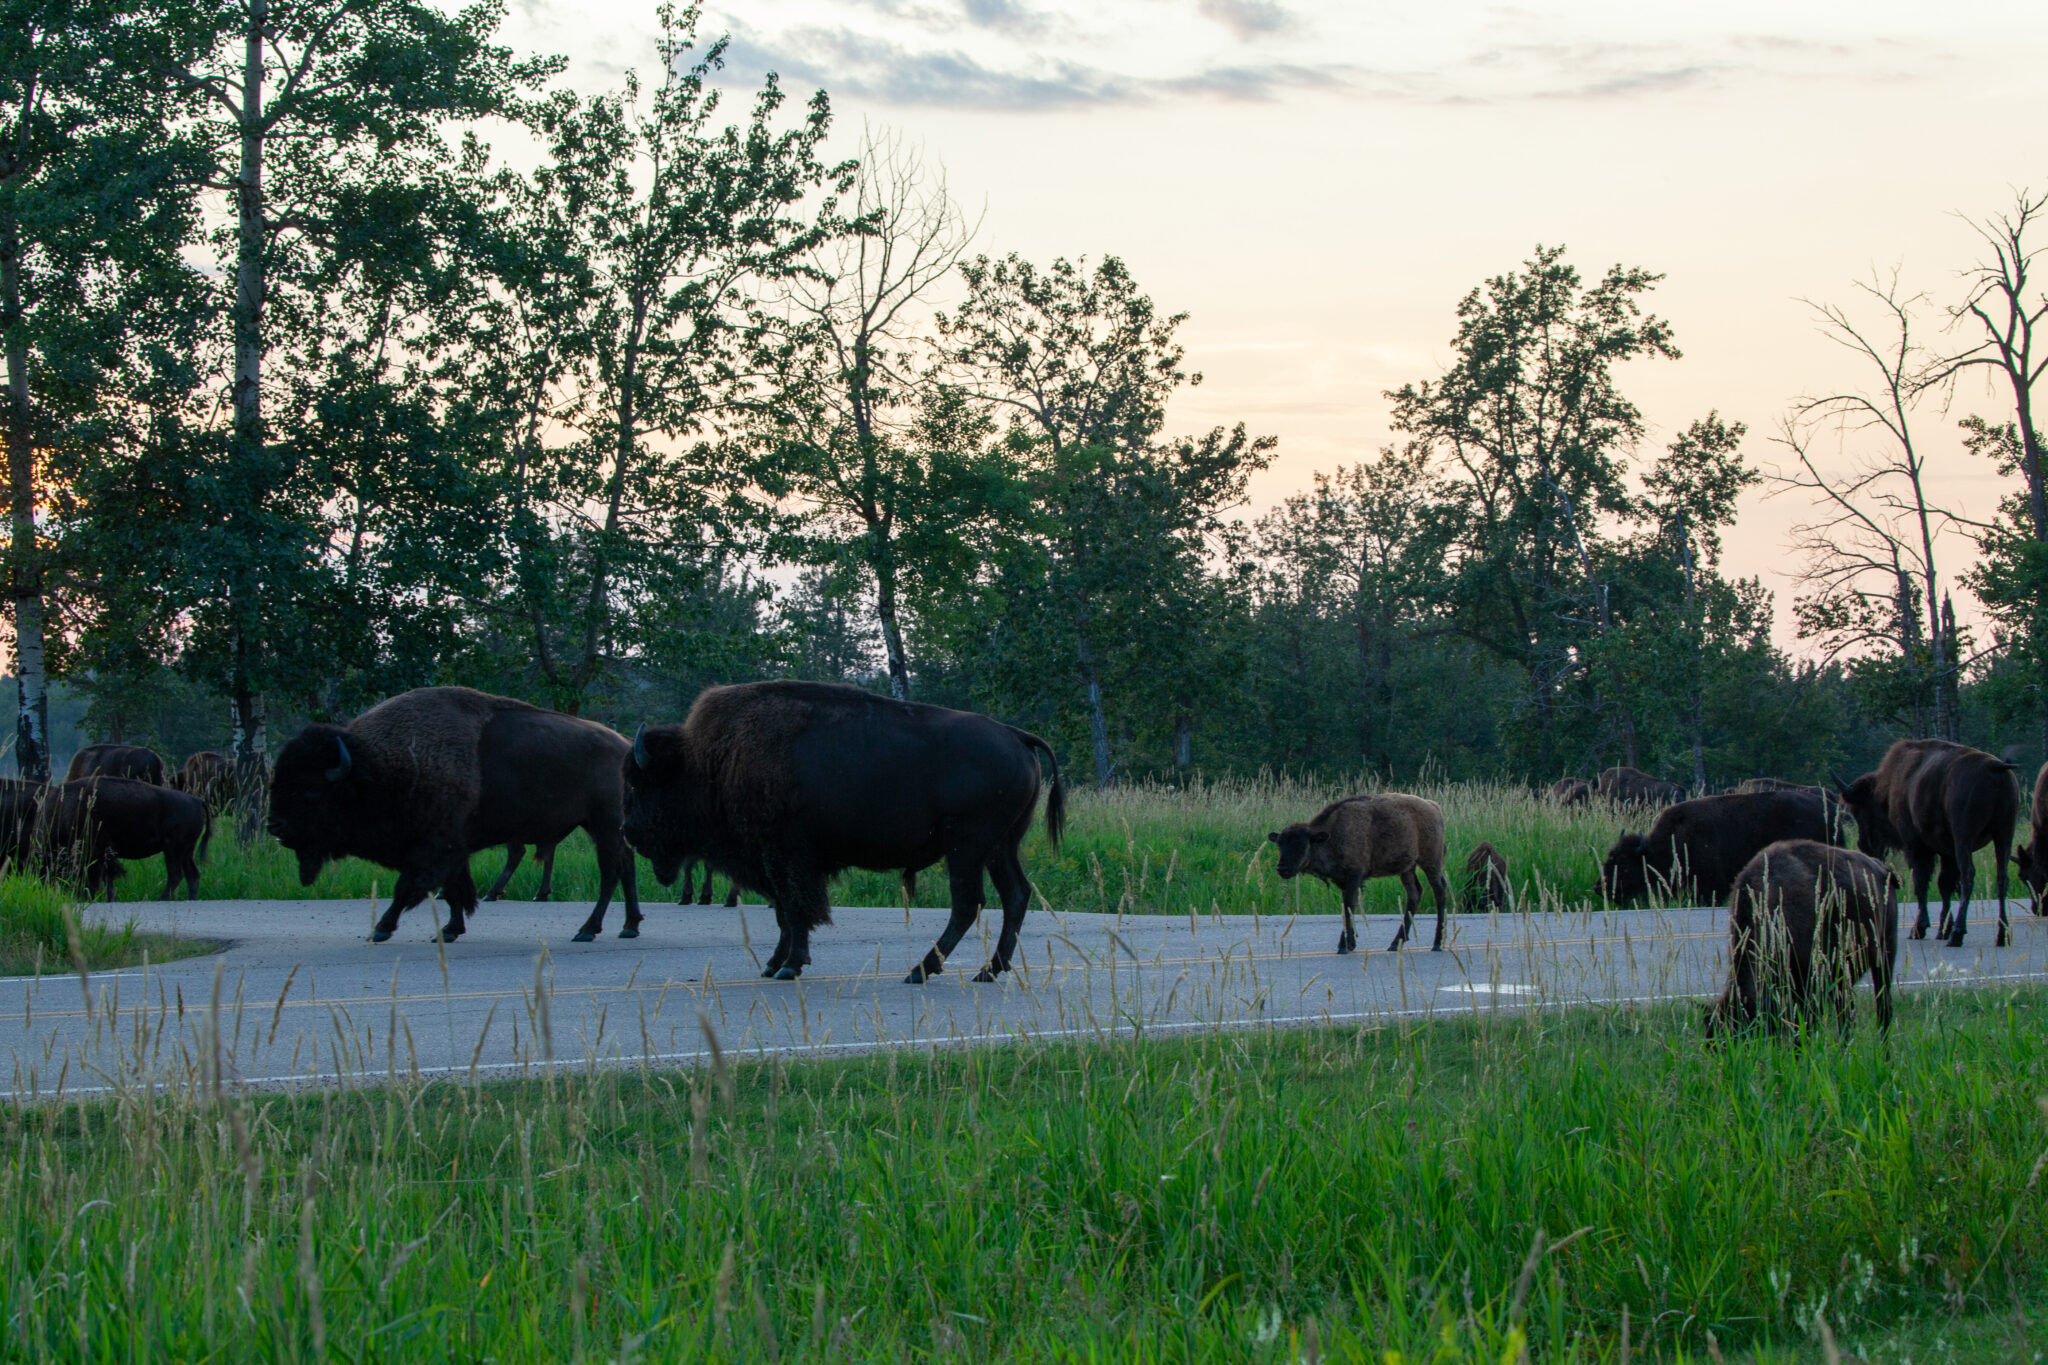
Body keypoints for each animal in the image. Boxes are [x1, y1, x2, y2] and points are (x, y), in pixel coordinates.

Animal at [34, 776, 210, 899]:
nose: (44, 883)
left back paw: (162, 899)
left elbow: (97, 877)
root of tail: (197, 800)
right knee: (192, 874)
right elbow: (107, 879)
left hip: (174, 849)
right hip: (186, 851)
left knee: (176, 874)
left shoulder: (96, 852)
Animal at [267, 687, 640, 944]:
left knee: (611, 872)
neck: (377, 767)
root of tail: (625, 745)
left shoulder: (435, 849)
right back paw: (629, 927)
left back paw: (587, 930)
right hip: (603, 827)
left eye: (309, 791)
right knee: (625, 868)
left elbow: (411, 888)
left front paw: (381, 929)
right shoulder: (453, 849)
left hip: (604, 825)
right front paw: (449, 931)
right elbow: (454, 890)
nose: (275, 826)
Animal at [621, 681, 1064, 983]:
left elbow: (795, 910)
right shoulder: (777, 862)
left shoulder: (786, 857)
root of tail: (1015, 736)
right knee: (1015, 895)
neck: (709, 761)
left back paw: (920, 971)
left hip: (967, 848)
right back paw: (989, 970)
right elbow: (784, 913)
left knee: (969, 903)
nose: (627, 832)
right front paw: (773, 964)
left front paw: (790, 966)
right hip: (1000, 847)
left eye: (640, 785)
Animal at [1268, 794, 1452, 952]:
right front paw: (1351, 943)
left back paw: (1437, 943)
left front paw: (1343, 946)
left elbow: (1349, 906)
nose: (1282, 868)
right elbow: (1348, 908)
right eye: (1280, 843)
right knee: (1414, 893)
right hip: (1407, 868)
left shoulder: (1354, 877)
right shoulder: (1346, 882)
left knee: (1439, 891)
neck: (1331, 834)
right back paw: (1395, 943)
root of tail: (1433, 806)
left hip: (1431, 862)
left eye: (1302, 844)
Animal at [1836, 739, 2019, 948]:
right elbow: (1944, 884)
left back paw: (1958, 934)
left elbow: (1920, 880)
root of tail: (1995, 766)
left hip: (1964, 839)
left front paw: (1919, 929)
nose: (1863, 845)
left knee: (1968, 875)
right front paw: (1942, 930)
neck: (1889, 787)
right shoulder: (1947, 853)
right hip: (2004, 836)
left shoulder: (1915, 846)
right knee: (2001, 877)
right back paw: (2002, 934)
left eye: (1860, 810)